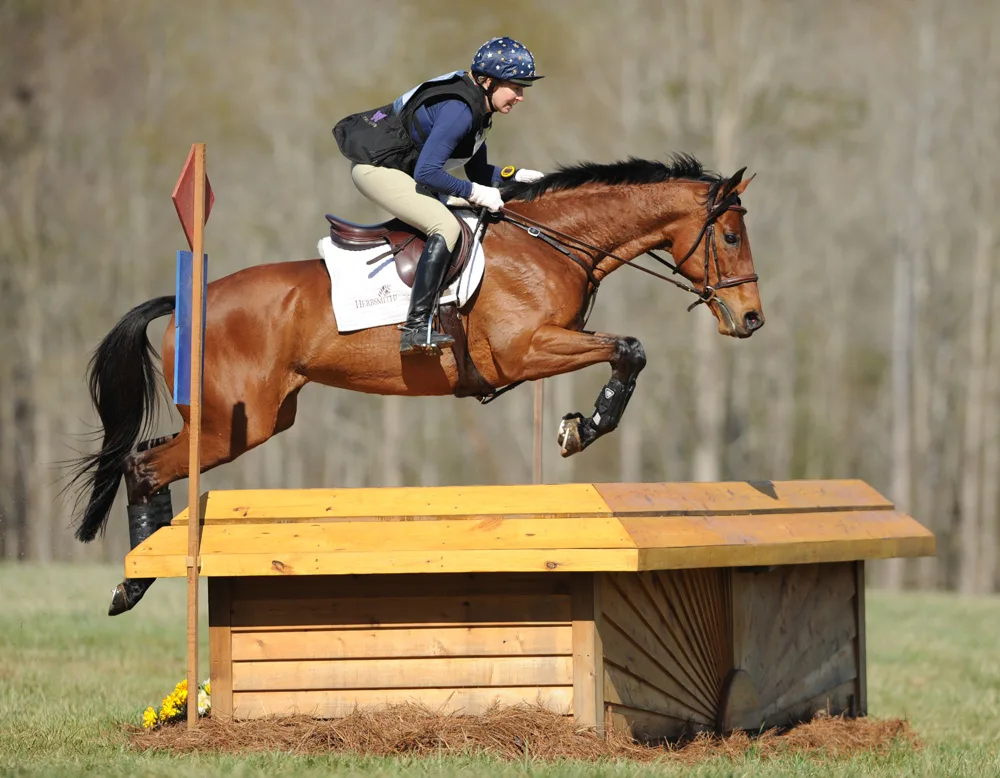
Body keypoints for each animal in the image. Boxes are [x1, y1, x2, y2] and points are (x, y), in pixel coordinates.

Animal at [68, 153, 763, 616]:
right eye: (730, 236)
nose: (752, 319)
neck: (551, 244)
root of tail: (188, 300)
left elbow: (626, 352)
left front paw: (580, 426)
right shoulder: (526, 351)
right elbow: (629, 351)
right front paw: (581, 429)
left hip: (246, 420)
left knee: (144, 460)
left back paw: (136, 577)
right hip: (232, 425)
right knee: (143, 466)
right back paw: (132, 584)